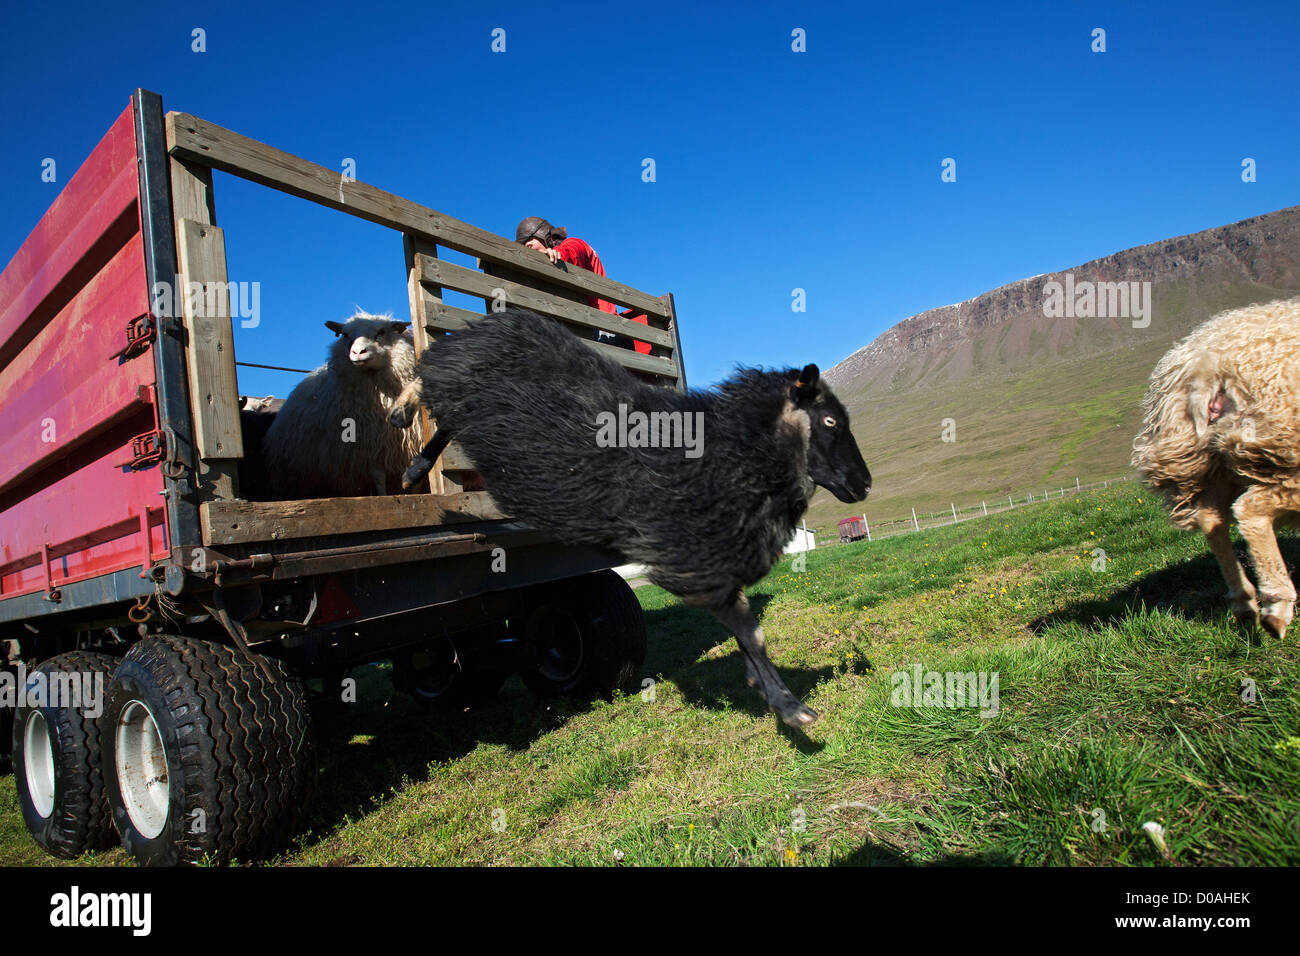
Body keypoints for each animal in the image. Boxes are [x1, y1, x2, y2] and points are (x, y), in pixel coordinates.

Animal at [262, 312, 425, 499]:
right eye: (345, 335)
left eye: (382, 331)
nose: (358, 352)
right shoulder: (368, 448)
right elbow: (378, 478)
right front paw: (384, 497)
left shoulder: (410, 444)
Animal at [389, 308, 872, 727]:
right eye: (830, 420)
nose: (865, 485)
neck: (733, 452)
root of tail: (502, 318)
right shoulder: (691, 558)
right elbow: (752, 634)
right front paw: (790, 706)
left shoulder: (714, 562)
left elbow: (748, 633)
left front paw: (768, 688)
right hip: (459, 380)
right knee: (424, 377)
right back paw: (399, 414)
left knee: (443, 419)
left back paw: (413, 471)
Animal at [1131, 296, 1300, 640]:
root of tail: (1206, 367)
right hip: (1277, 447)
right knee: (1250, 510)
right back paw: (1276, 607)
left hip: (1191, 460)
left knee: (1211, 519)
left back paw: (1245, 604)